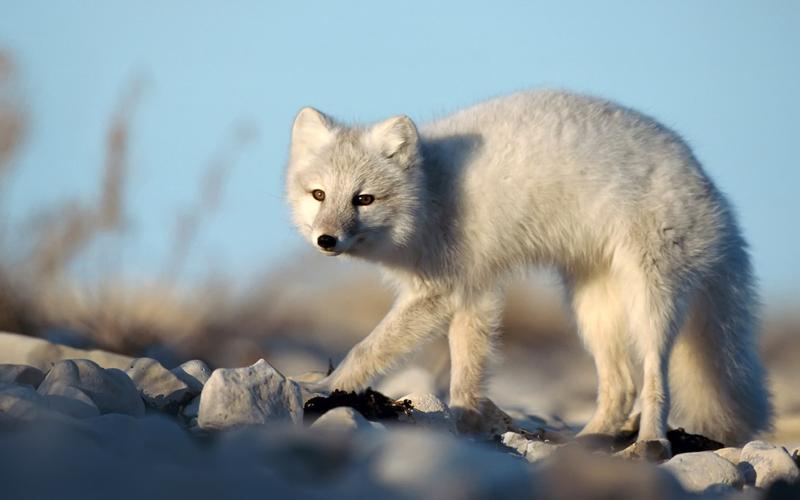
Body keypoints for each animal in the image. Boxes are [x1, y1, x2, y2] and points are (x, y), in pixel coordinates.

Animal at [284, 90, 772, 454]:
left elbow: (366, 349)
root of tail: (710, 187)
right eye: (319, 195)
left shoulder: (446, 292)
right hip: (592, 309)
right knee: (620, 386)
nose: (326, 240)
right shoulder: (473, 293)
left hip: (650, 302)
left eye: (363, 199)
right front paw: (466, 423)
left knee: (654, 379)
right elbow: (467, 372)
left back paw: (650, 443)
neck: (432, 194)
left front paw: (326, 388)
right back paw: (586, 440)